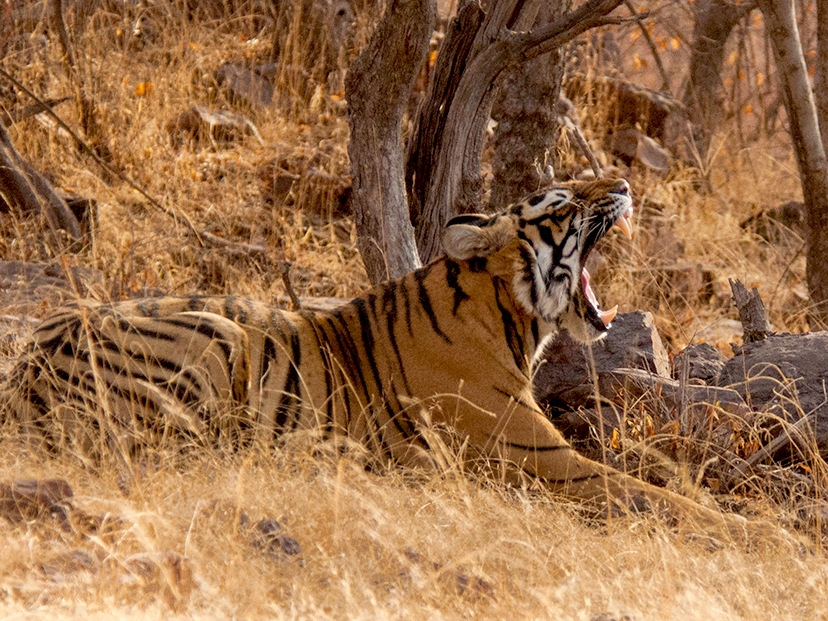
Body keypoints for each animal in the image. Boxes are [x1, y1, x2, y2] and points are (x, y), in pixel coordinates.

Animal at [1, 178, 792, 546]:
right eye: (565, 201)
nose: (624, 184)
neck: (512, 317)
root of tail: (30, 361)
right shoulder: (545, 461)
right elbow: (662, 497)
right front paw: (770, 533)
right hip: (214, 333)